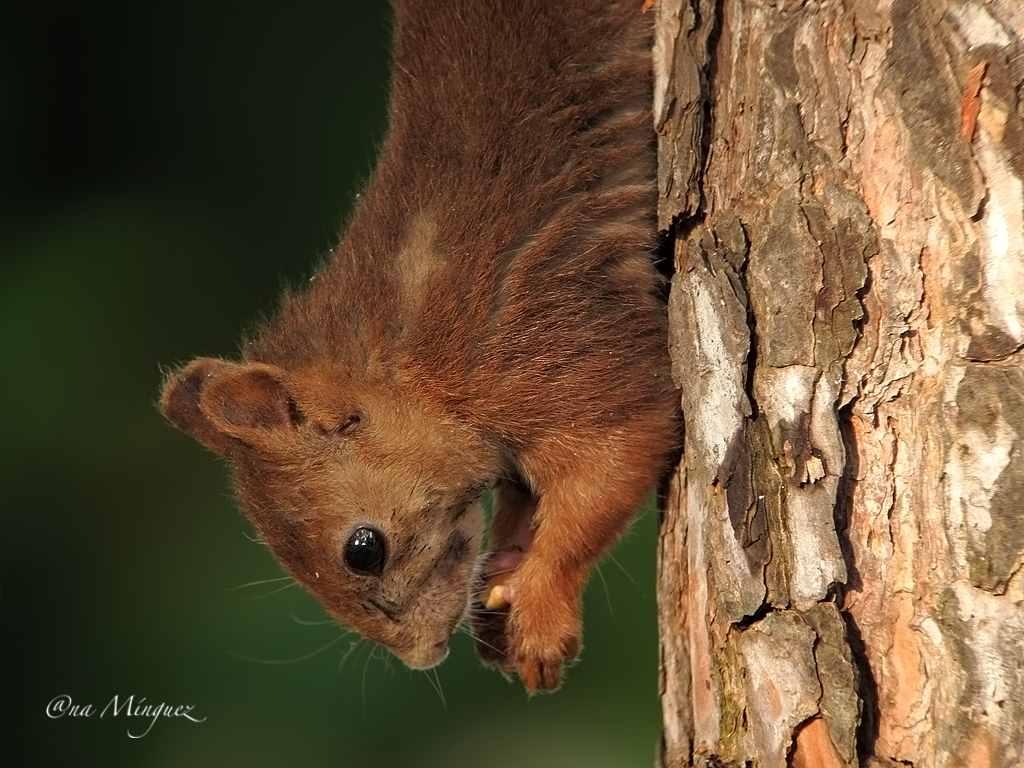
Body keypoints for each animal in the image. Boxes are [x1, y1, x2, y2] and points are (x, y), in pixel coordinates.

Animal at [160, 0, 679, 693]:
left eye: (364, 549)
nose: (423, 656)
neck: (409, 366)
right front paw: (506, 573)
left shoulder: (543, 349)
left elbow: (621, 452)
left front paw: (541, 609)